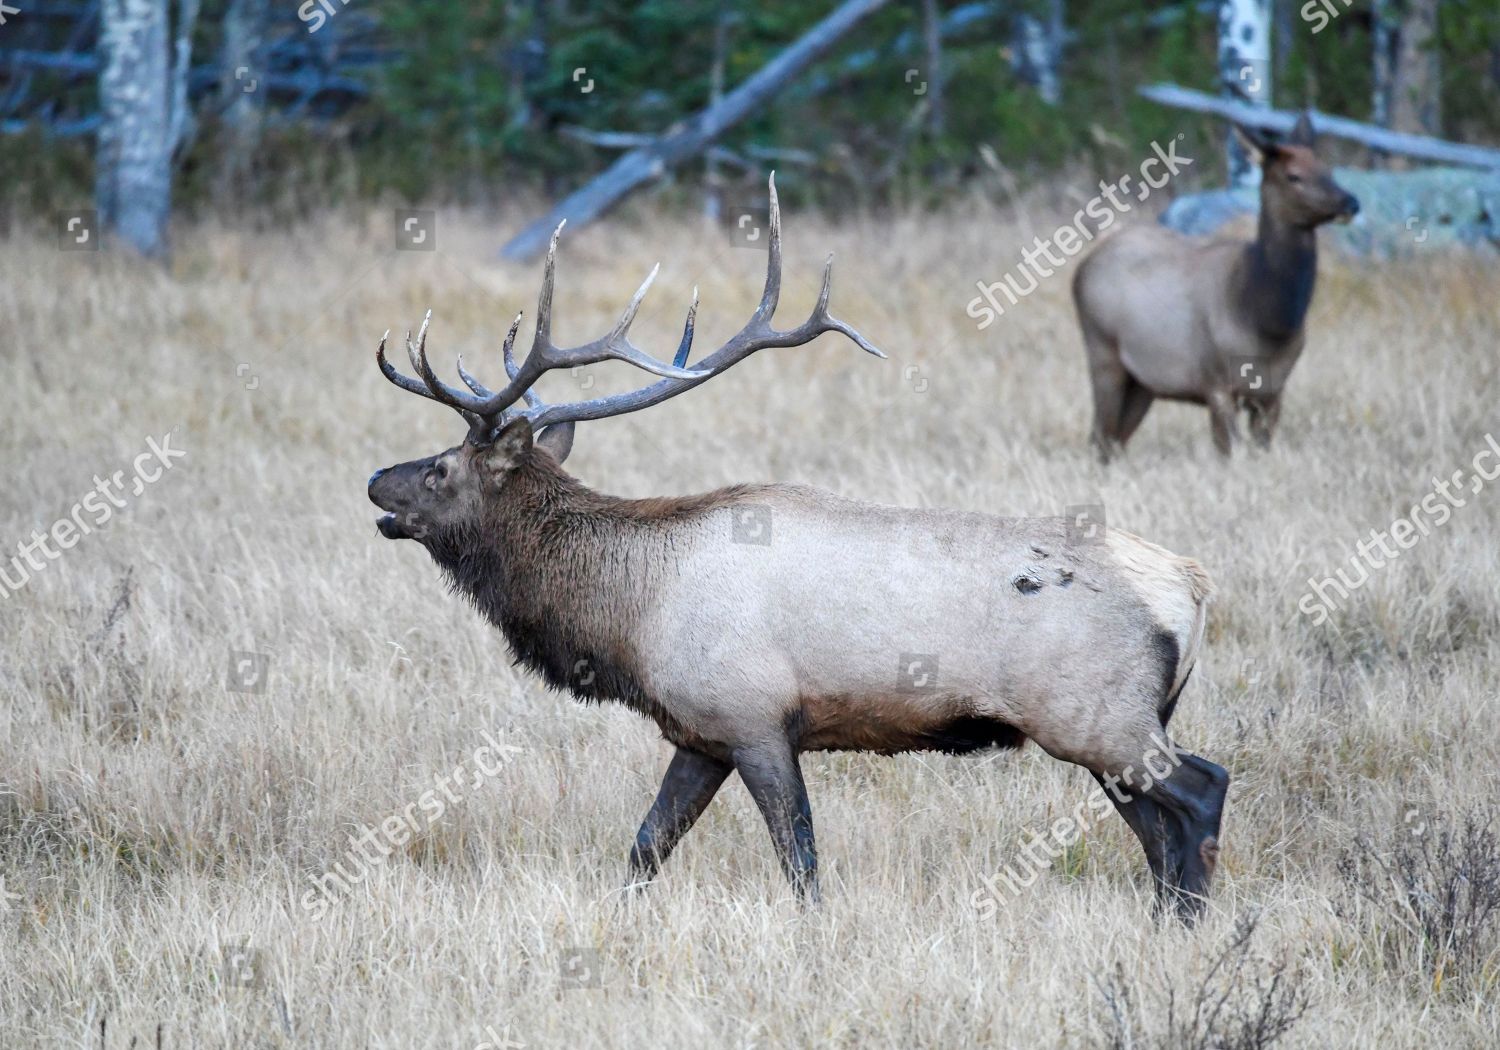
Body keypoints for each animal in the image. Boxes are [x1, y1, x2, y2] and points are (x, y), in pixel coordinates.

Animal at [367, 176, 1229, 920]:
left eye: (441, 469)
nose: (377, 480)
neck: (630, 617)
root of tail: (1191, 586)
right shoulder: (701, 735)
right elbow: (646, 846)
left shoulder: (753, 718)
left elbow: (800, 858)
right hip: (1118, 725)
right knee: (1154, 829)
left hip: (1096, 715)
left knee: (1202, 791)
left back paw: (1189, 922)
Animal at [1072, 113, 1360, 462]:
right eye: (1294, 176)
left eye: (1327, 169)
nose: (1351, 202)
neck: (1266, 320)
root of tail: (1081, 269)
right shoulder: (1216, 383)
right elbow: (1229, 454)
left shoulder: (1273, 392)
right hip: (1102, 350)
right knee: (1098, 437)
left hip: (1144, 382)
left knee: (1114, 442)